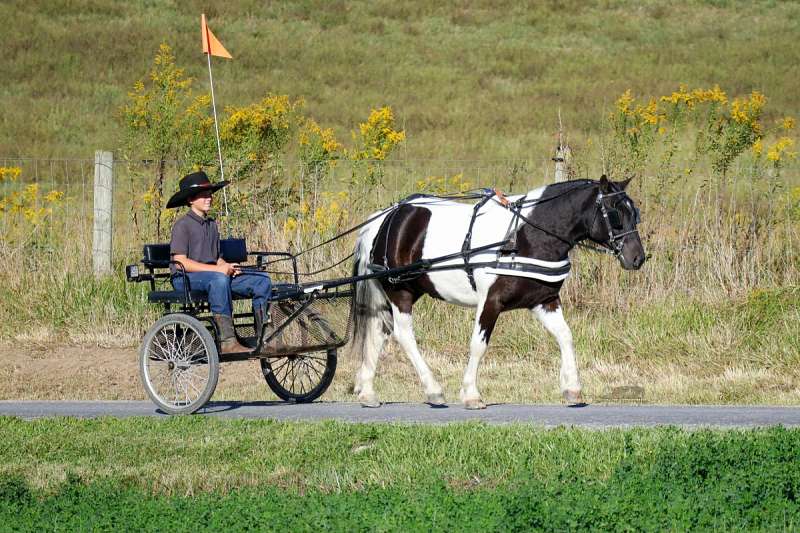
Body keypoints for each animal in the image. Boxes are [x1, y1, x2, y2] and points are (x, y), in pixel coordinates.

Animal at [350, 176, 645, 409]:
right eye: (615, 214)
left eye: (635, 213)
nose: (638, 258)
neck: (521, 235)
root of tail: (384, 218)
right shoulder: (490, 301)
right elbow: (478, 345)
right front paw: (471, 394)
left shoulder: (544, 301)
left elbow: (565, 336)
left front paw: (572, 388)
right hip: (400, 292)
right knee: (403, 335)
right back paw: (433, 389)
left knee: (379, 331)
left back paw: (368, 392)